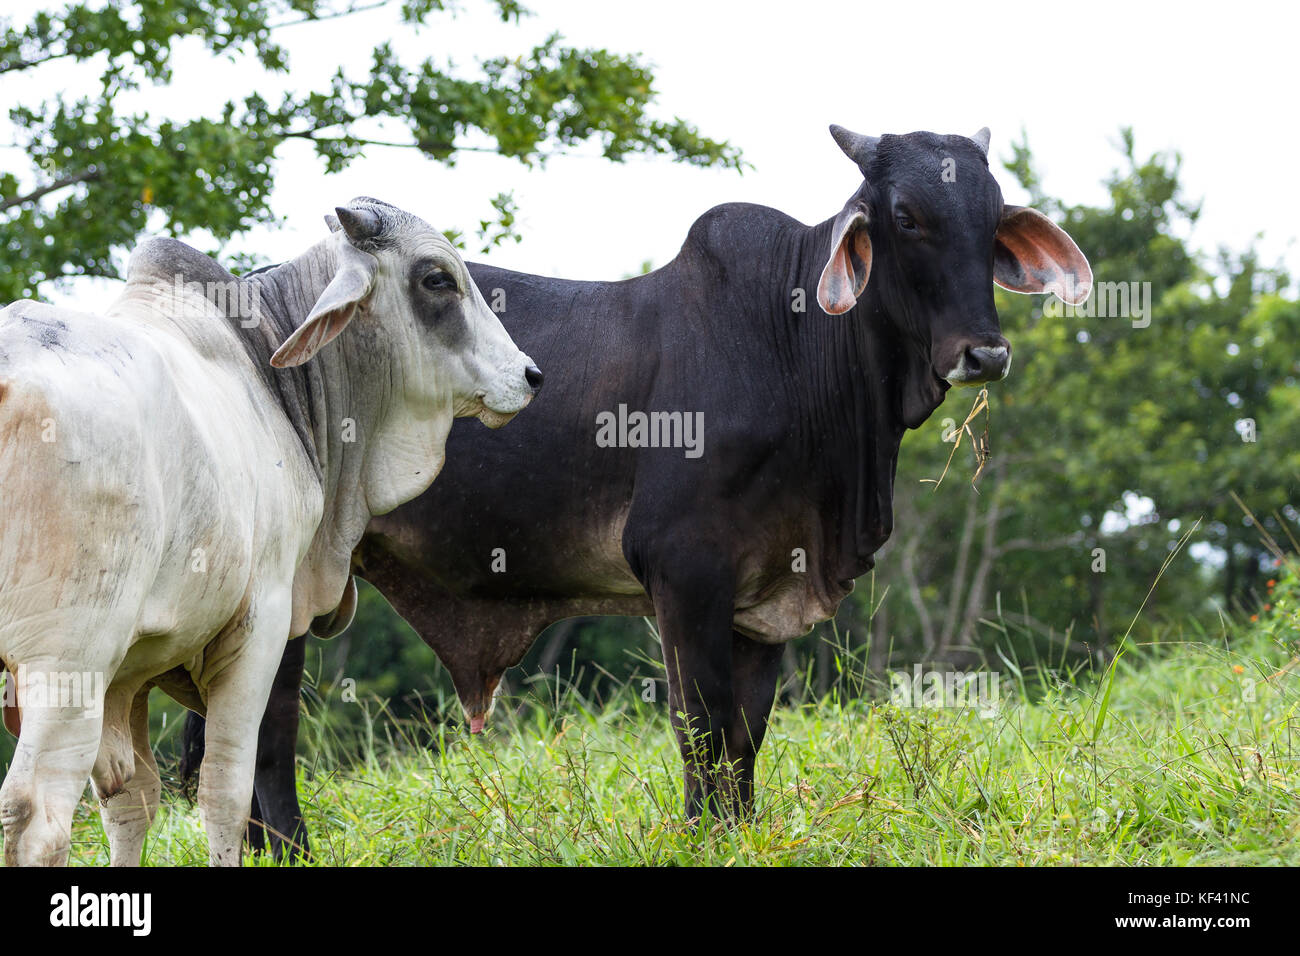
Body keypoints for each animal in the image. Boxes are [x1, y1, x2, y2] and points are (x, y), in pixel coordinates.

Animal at [0, 197, 541, 866]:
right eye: (437, 278)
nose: (530, 374)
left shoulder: (131, 673)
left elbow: (130, 804)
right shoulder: (257, 624)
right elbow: (228, 791)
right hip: (67, 656)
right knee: (36, 818)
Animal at [191, 126, 1092, 858]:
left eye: (994, 214)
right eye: (905, 216)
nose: (985, 355)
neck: (801, 347)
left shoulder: (766, 593)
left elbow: (746, 733)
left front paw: (737, 833)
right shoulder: (684, 570)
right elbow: (701, 722)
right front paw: (701, 835)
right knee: (268, 723)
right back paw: (290, 852)